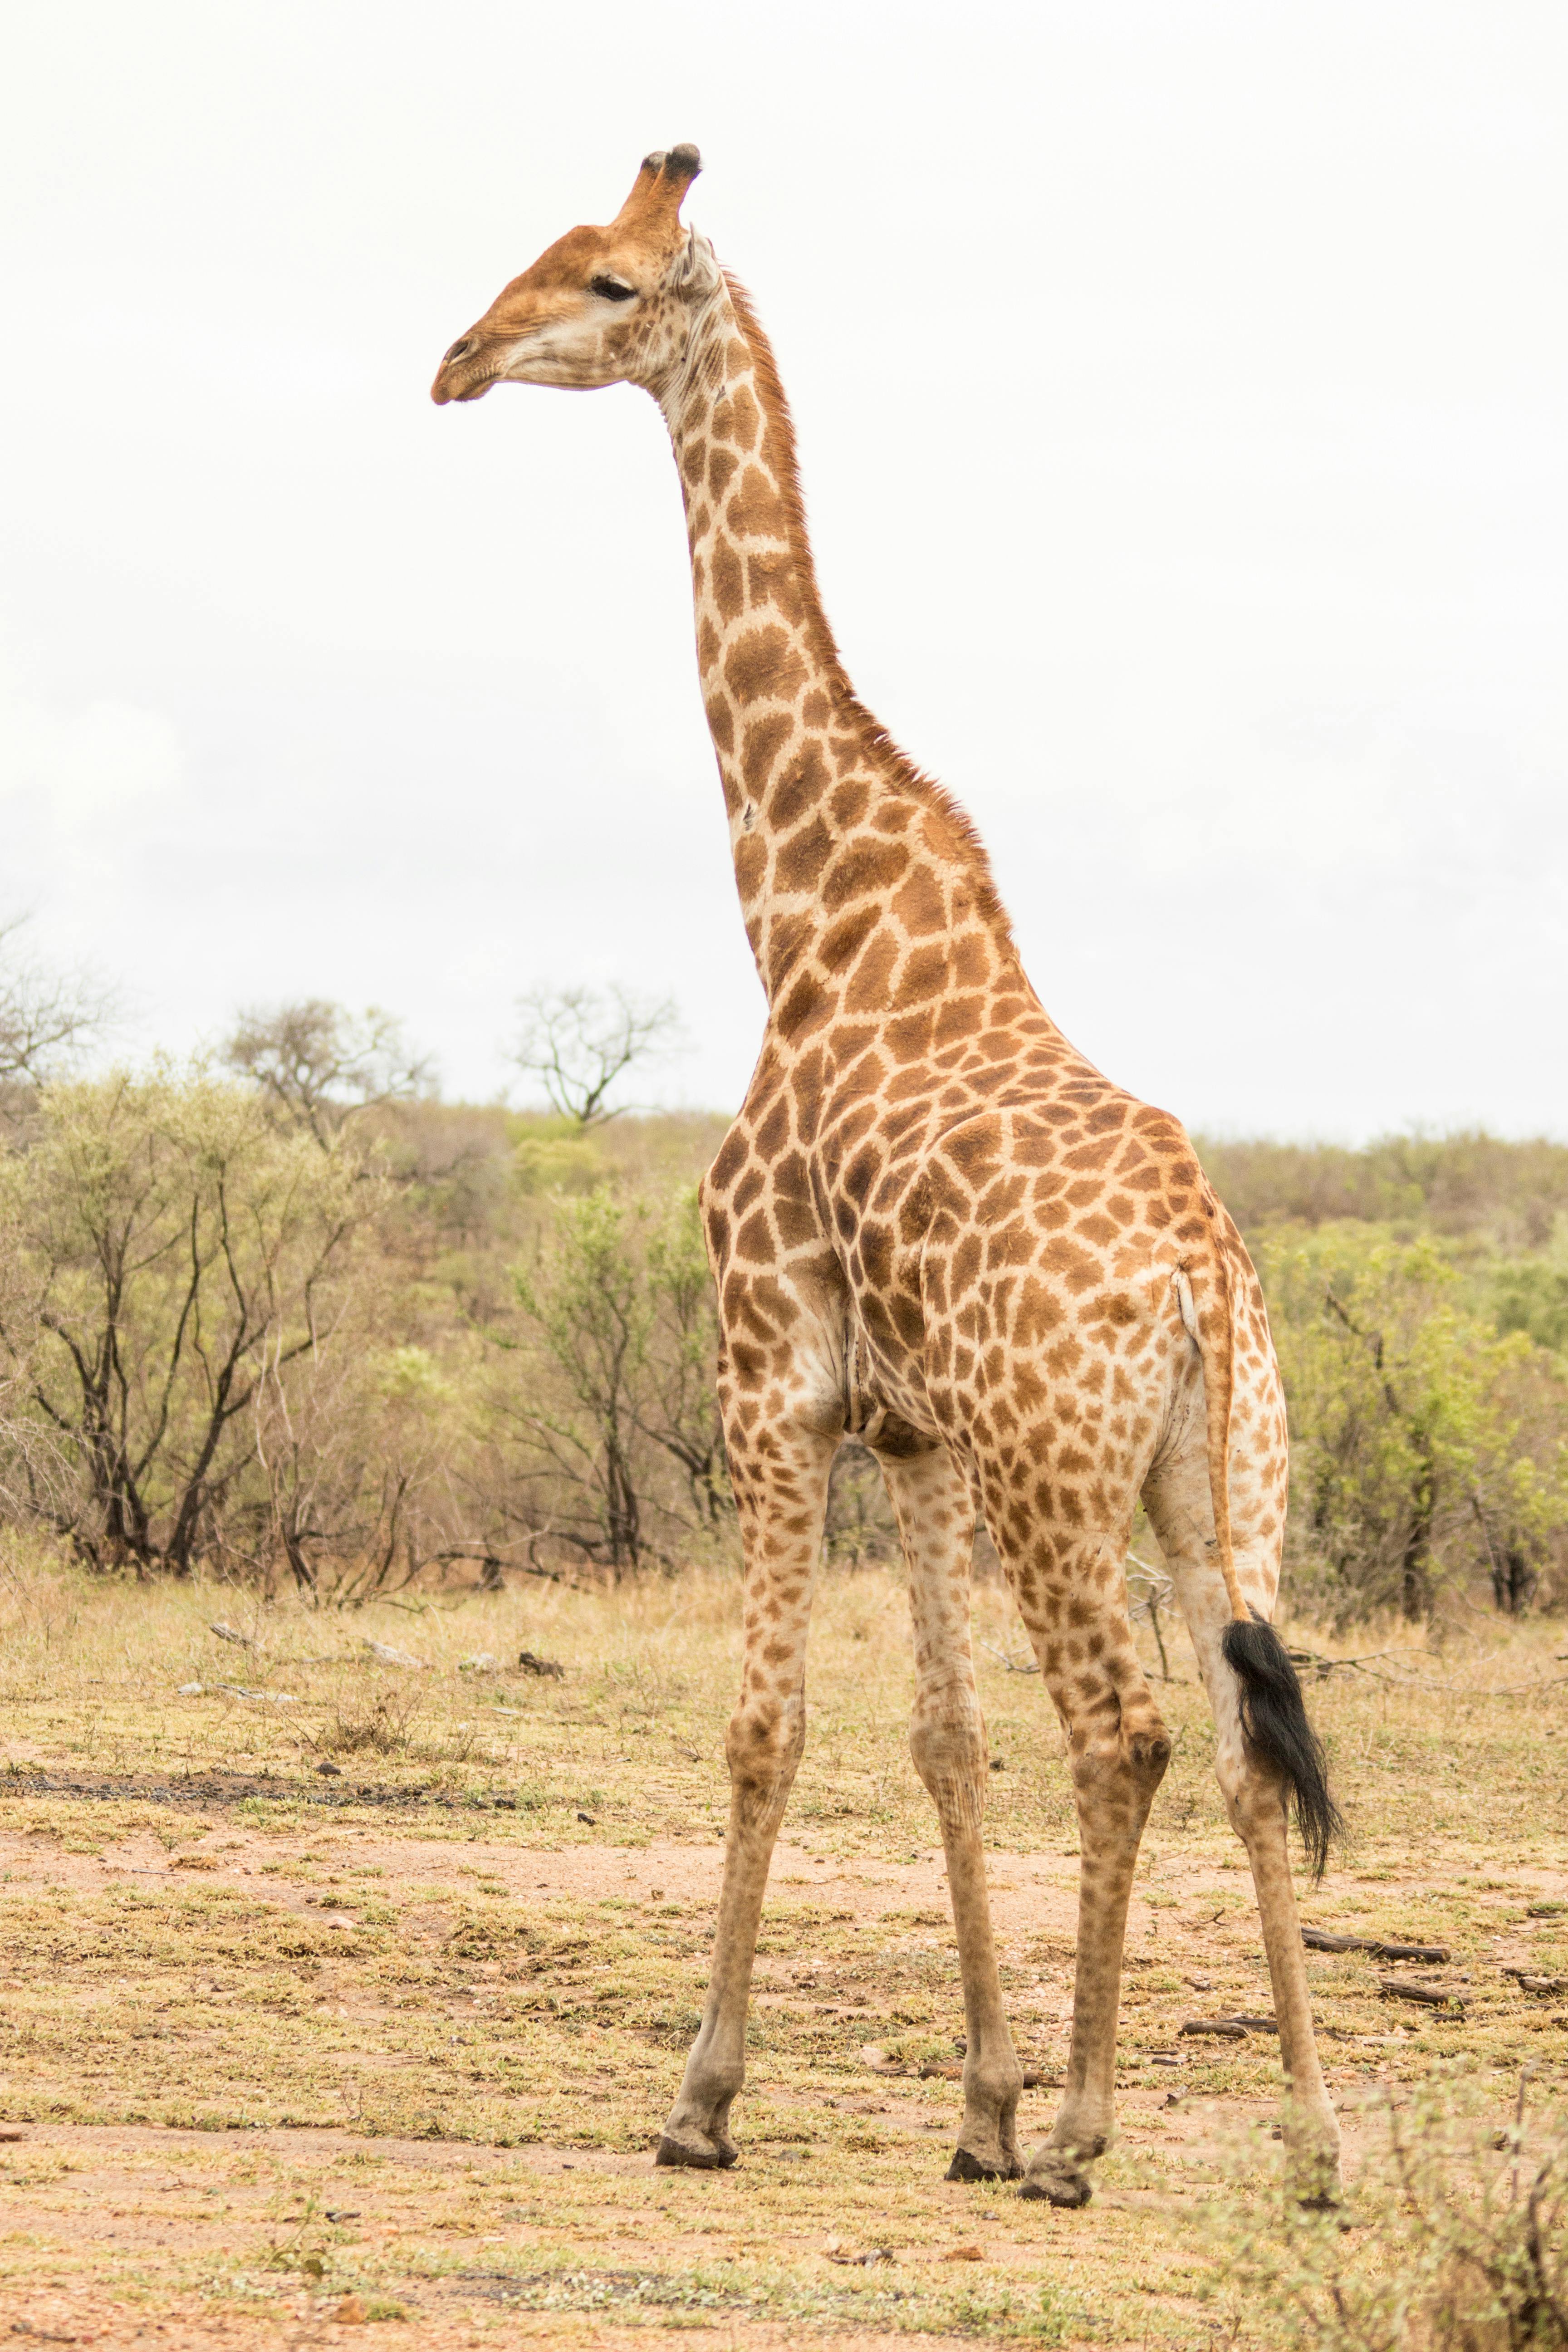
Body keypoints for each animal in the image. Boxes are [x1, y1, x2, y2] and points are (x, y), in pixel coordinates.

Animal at [433, 145, 1344, 2209]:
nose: (456, 358)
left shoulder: (767, 1376)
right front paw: (976, 2105)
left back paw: (1092, 2133)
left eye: (604, 284)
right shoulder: (913, 1432)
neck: (810, 919)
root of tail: (1199, 1281)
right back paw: (1313, 2139)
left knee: (1127, 1732)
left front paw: (706, 2099)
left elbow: (763, 1726)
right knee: (1248, 1732)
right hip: (1216, 1481)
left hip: (1056, 1476)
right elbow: (940, 1740)